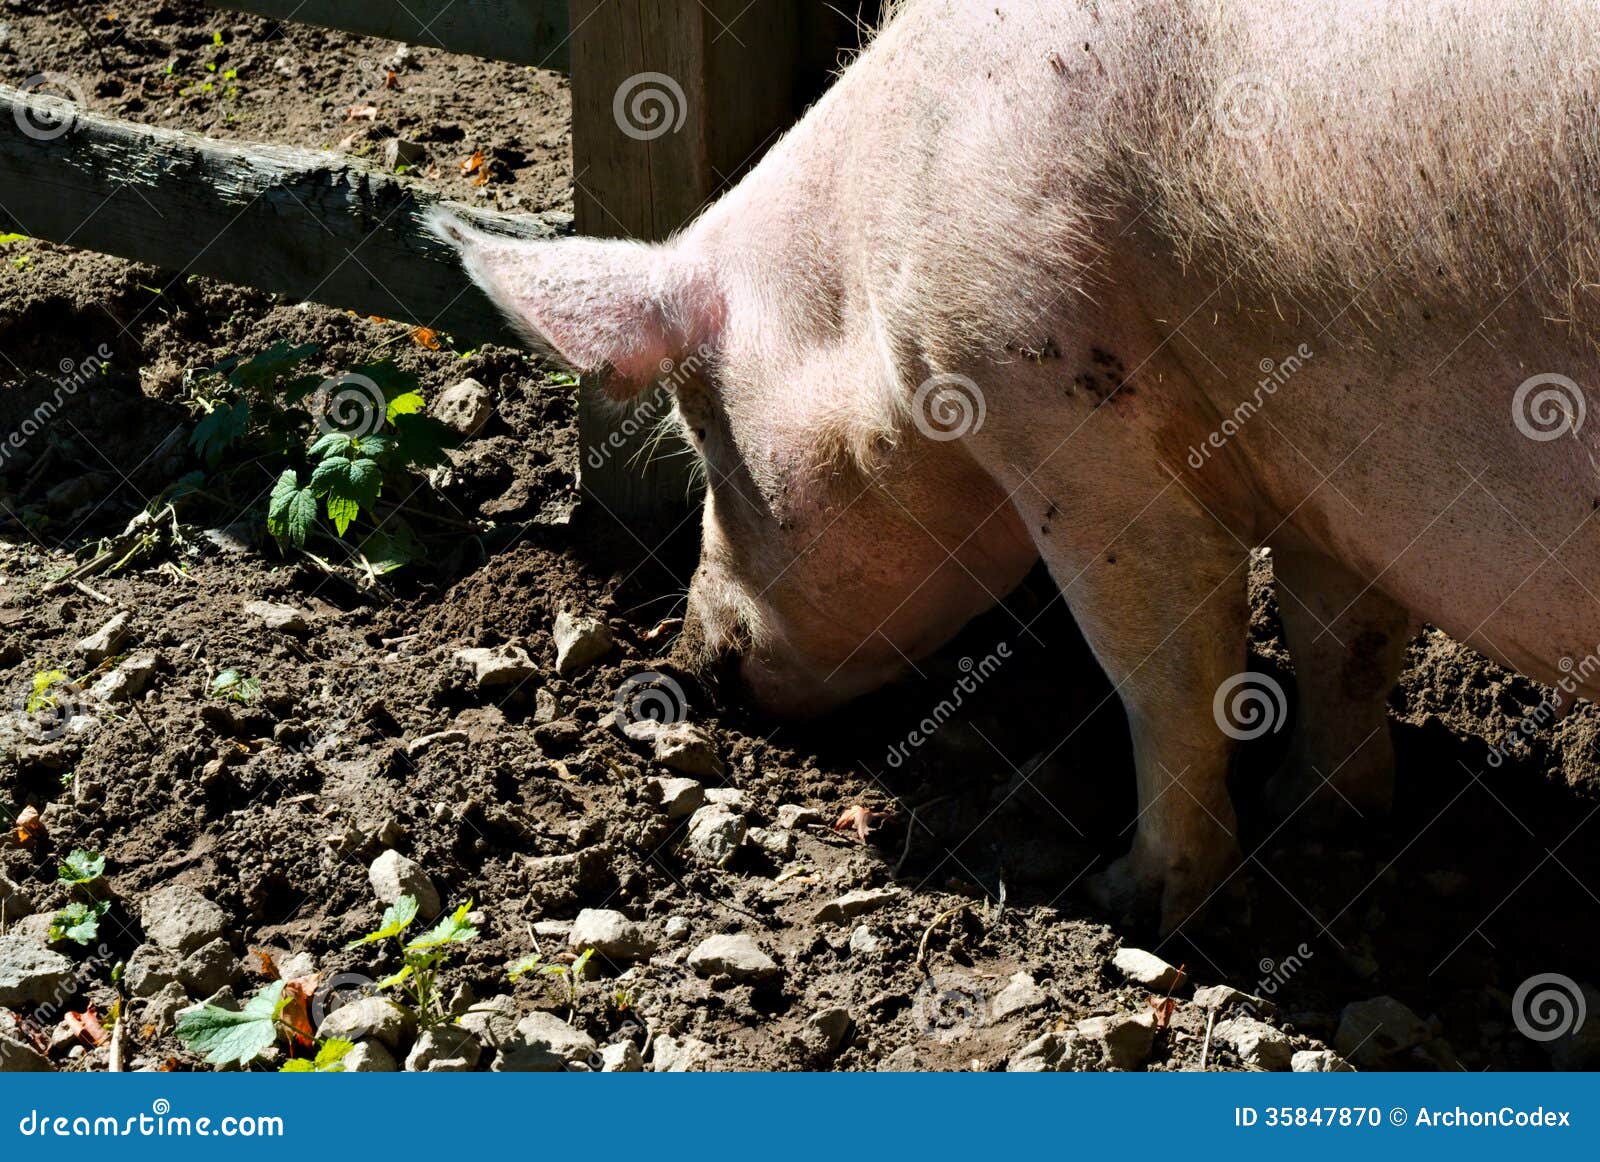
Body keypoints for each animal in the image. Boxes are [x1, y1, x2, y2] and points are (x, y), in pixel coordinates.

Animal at [434, 0, 1600, 931]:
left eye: (707, 434)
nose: (698, 659)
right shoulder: (1321, 468)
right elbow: (1341, 638)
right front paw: (1317, 815)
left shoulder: (1061, 417)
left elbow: (1169, 671)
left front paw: (1132, 899)